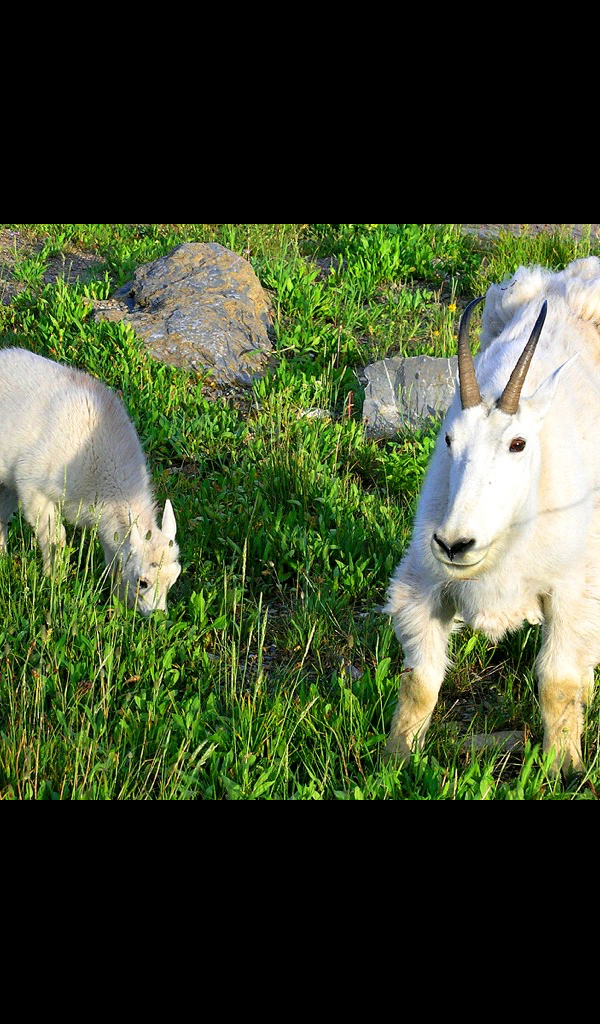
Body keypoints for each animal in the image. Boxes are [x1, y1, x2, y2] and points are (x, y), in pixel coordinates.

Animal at [0, 347, 181, 615]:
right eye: (143, 582)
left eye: (174, 578)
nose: (157, 616)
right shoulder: (33, 488)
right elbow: (55, 539)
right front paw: (53, 581)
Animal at [384, 256, 600, 775]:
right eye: (449, 439)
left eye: (518, 443)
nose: (454, 544)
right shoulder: (424, 585)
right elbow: (419, 682)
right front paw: (396, 761)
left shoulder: (571, 590)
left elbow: (558, 683)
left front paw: (562, 769)